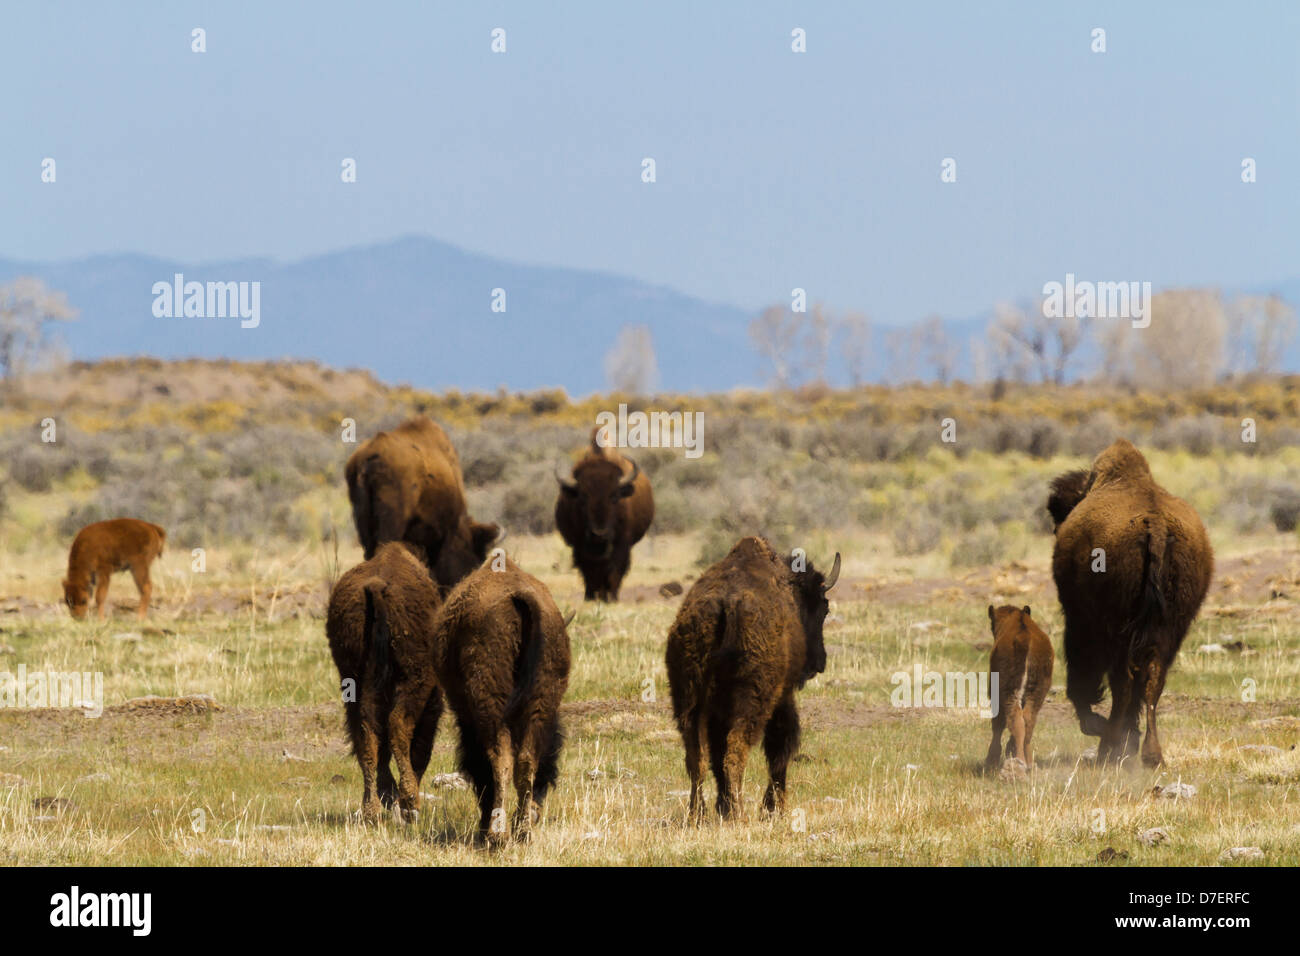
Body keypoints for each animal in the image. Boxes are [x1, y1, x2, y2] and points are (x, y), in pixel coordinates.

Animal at [554, 434, 654, 601]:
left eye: (614, 496)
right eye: (583, 497)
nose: (599, 534)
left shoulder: (622, 543)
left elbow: (615, 569)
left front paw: (611, 598)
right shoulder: (579, 544)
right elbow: (588, 570)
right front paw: (590, 596)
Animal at [665, 536, 839, 821]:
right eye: (823, 608)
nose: (819, 663)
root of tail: (724, 604)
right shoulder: (782, 700)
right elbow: (781, 749)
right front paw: (773, 809)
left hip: (688, 700)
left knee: (696, 756)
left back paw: (698, 814)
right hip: (753, 701)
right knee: (736, 750)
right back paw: (739, 814)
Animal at [1048, 439, 1213, 767]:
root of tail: (1156, 525)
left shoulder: (1078, 620)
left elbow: (1081, 678)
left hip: (1115, 630)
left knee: (1123, 682)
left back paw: (1110, 747)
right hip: (1170, 628)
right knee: (1151, 681)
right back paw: (1150, 755)